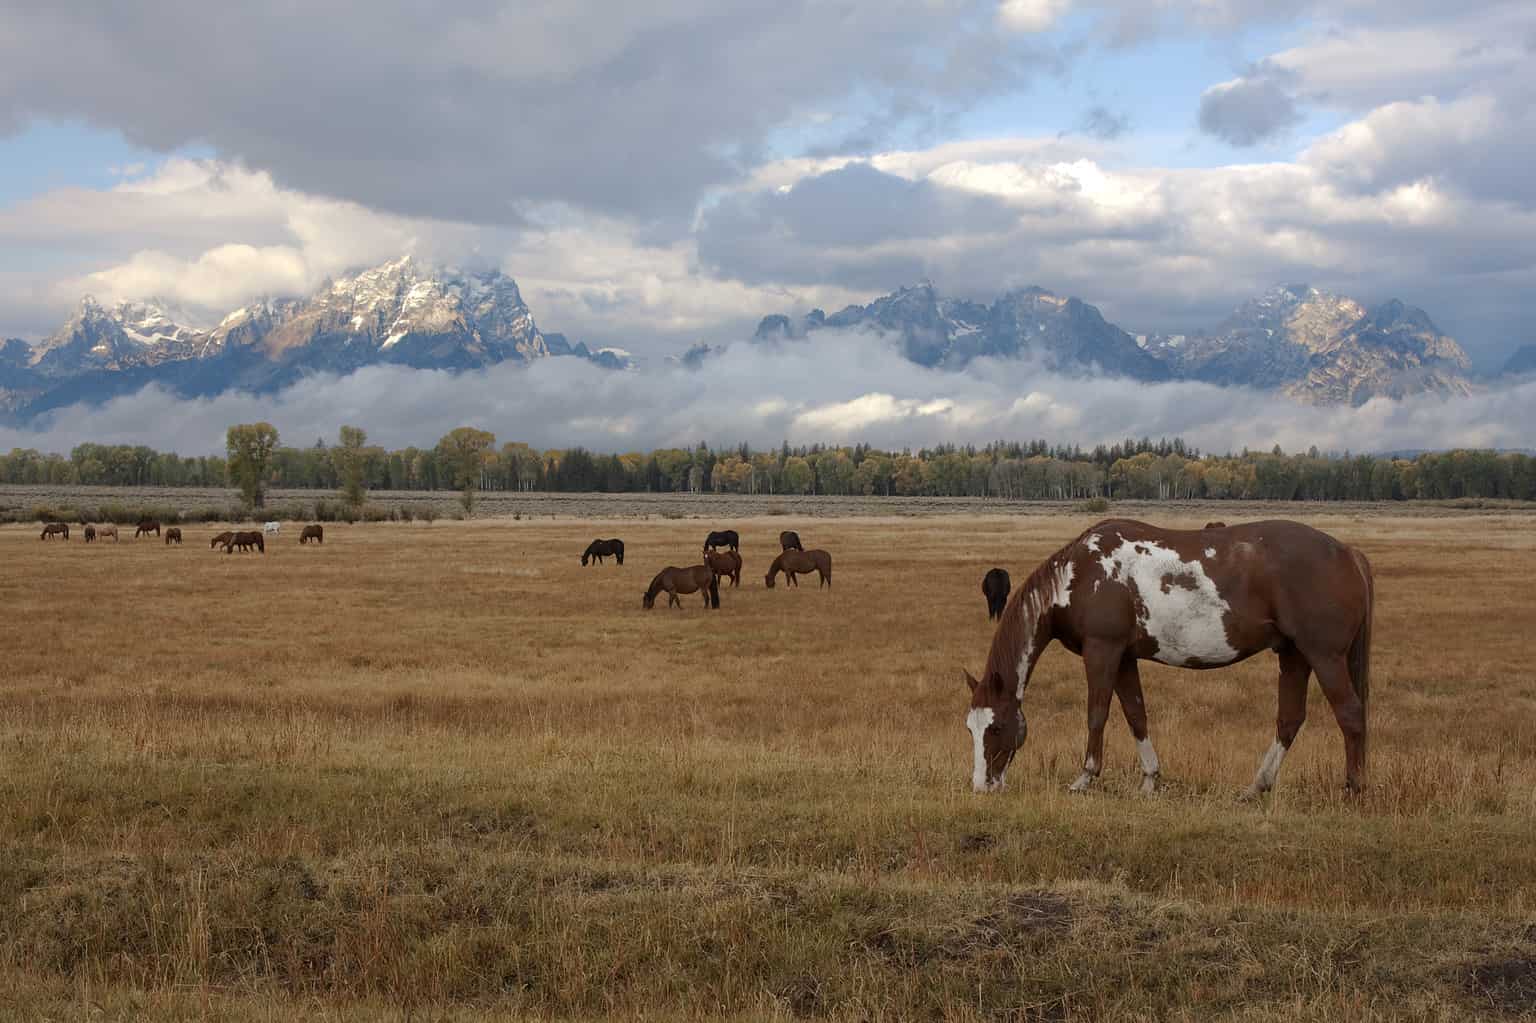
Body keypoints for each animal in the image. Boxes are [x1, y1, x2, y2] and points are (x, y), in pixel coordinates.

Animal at [961, 519, 1373, 798]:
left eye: (995, 728)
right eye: (970, 729)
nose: (982, 785)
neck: (1079, 575)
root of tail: (1348, 552)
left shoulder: (1102, 650)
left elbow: (1097, 713)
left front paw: (1085, 777)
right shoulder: (1124, 657)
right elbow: (1135, 715)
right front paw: (1150, 780)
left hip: (1324, 656)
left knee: (1350, 714)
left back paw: (1354, 788)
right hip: (1294, 655)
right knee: (1290, 719)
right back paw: (1256, 787)